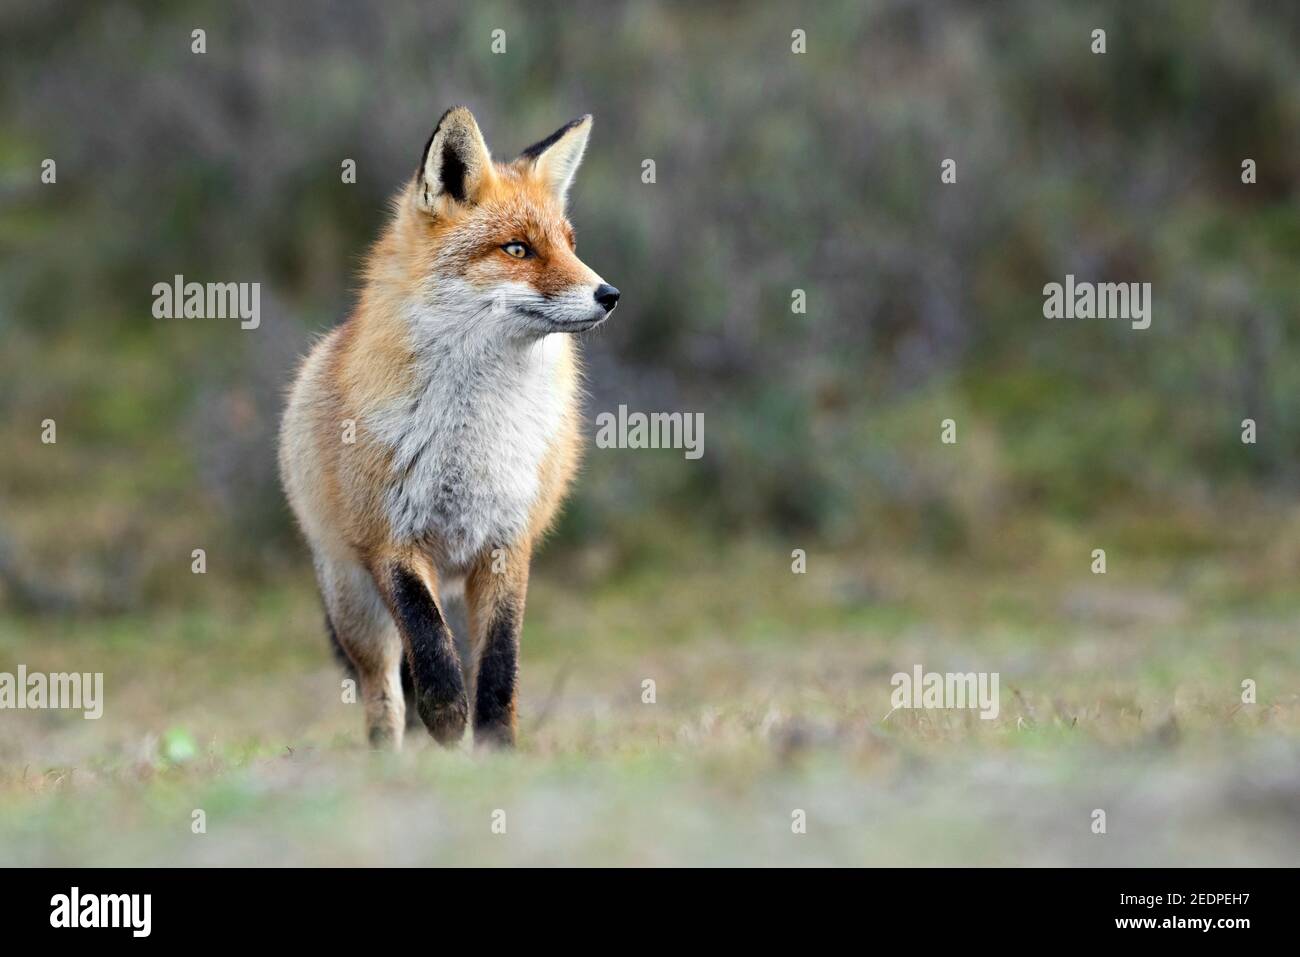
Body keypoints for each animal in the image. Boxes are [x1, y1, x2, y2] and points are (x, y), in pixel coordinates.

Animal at [279, 107, 618, 750]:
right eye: (518, 249)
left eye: (569, 245)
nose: (609, 294)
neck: (474, 435)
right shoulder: (389, 541)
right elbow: (430, 649)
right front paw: (448, 724)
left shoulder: (507, 543)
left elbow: (500, 670)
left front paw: (496, 748)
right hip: (355, 604)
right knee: (383, 694)